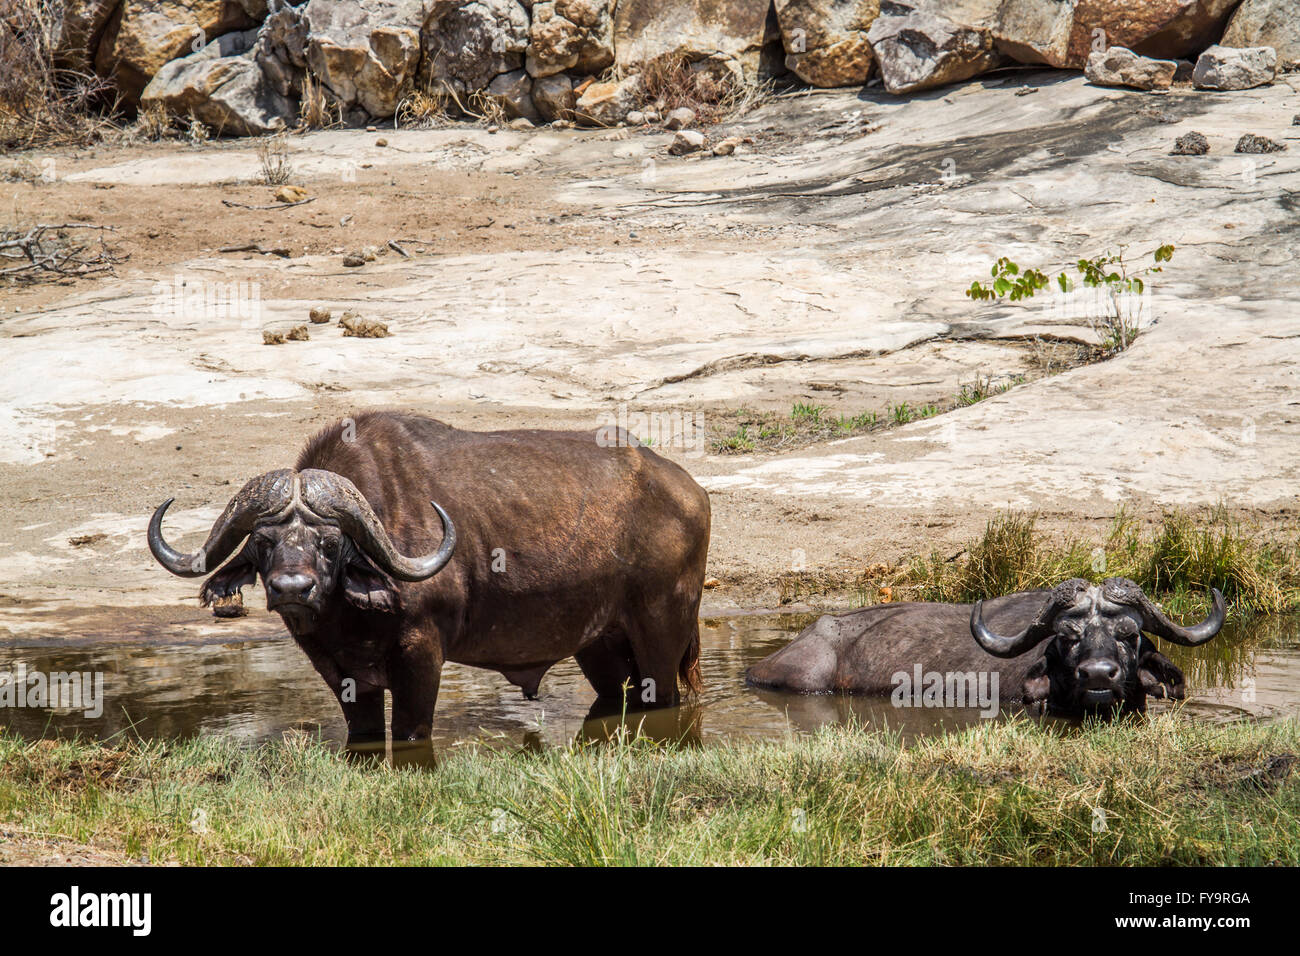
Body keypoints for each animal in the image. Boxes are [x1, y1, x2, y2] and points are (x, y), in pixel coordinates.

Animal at [147, 411, 711, 742]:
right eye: (263, 543)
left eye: (330, 543)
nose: (292, 590)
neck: (352, 619)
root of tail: (689, 489)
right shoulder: (339, 671)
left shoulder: (422, 656)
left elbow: (412, 733)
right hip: (599, 645)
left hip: (661, 634)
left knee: (664, 699)